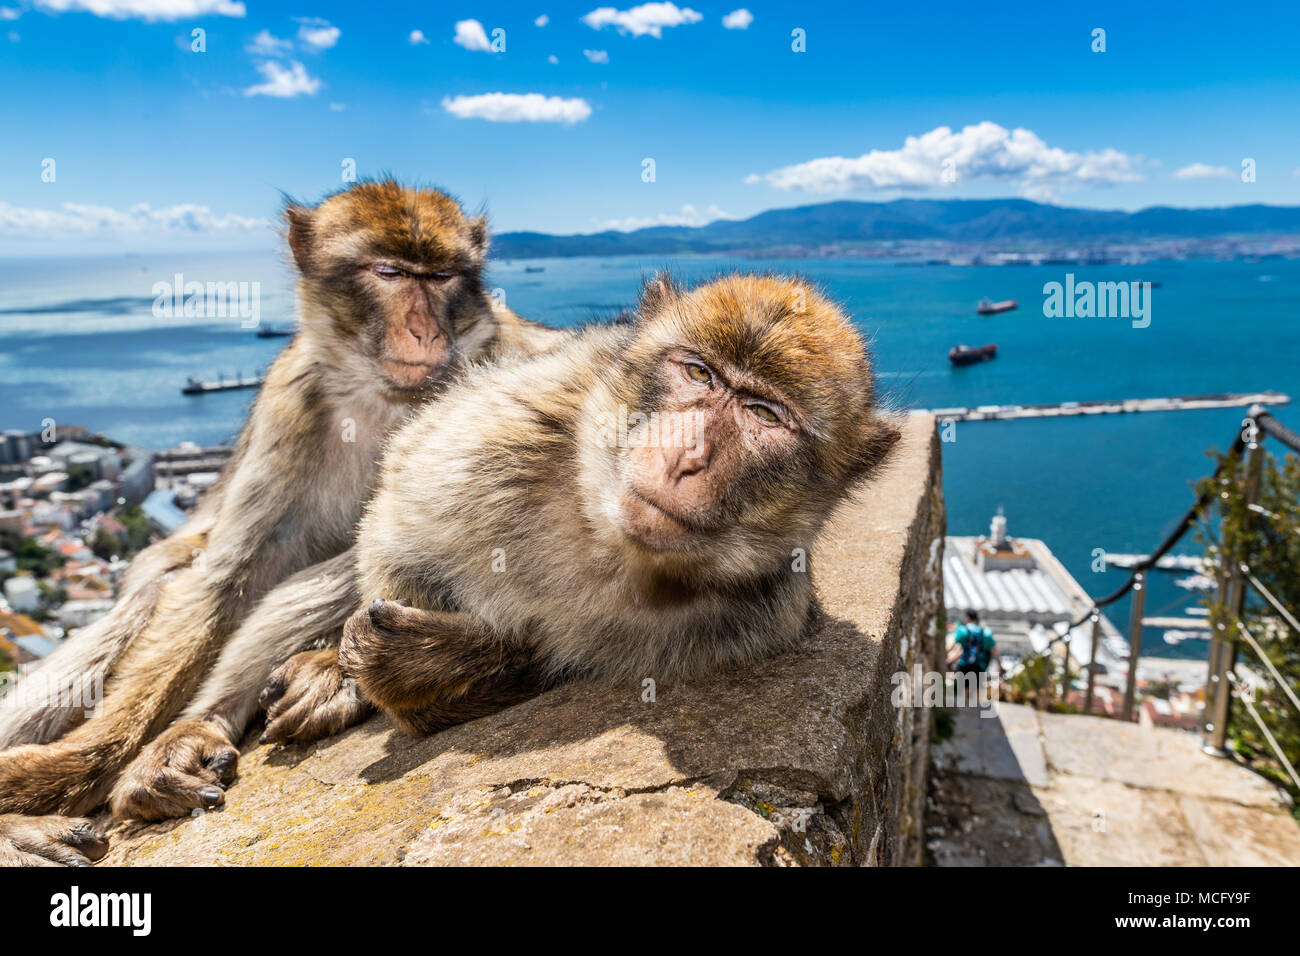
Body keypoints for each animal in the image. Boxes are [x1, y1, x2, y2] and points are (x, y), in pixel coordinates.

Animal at [0, 180, 564, 854]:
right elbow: (222, 578)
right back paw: (195, 729)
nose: (425, 331)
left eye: (443, 277)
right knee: (163, 585)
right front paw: (76, 764)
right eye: (391, 274)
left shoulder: (514, 361)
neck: (378, 395)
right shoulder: (290, 401)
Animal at [276, 273, 900, 742]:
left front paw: (426, 663)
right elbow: (393, 529)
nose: (686, 454)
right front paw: (365, 664)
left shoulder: (760, 619)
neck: (610, 544)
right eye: (699, 372)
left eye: (764, 414)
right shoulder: (495, 433)